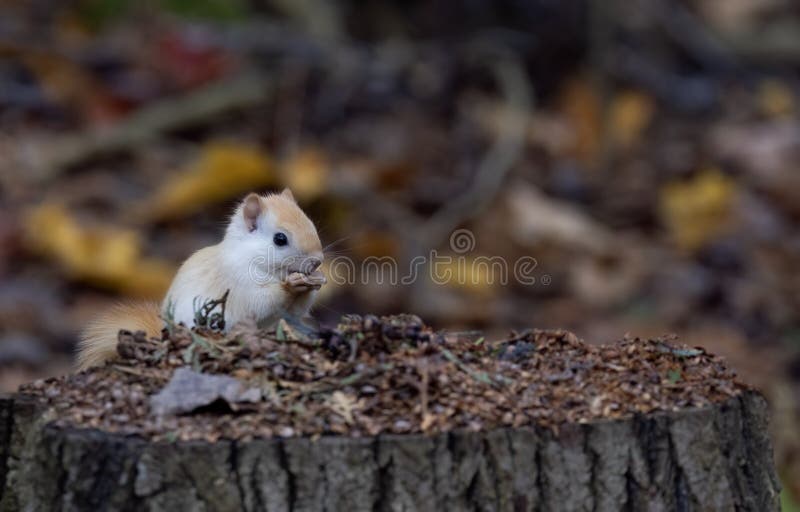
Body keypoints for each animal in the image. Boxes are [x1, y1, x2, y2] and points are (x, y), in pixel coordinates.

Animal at [77, 189, 326, 370]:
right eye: (280, 239)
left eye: (312, 224)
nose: (318, 261)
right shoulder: (237, 284)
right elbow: (261, 301)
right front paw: (292, 285)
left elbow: (296, 311)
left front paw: (313, 283)